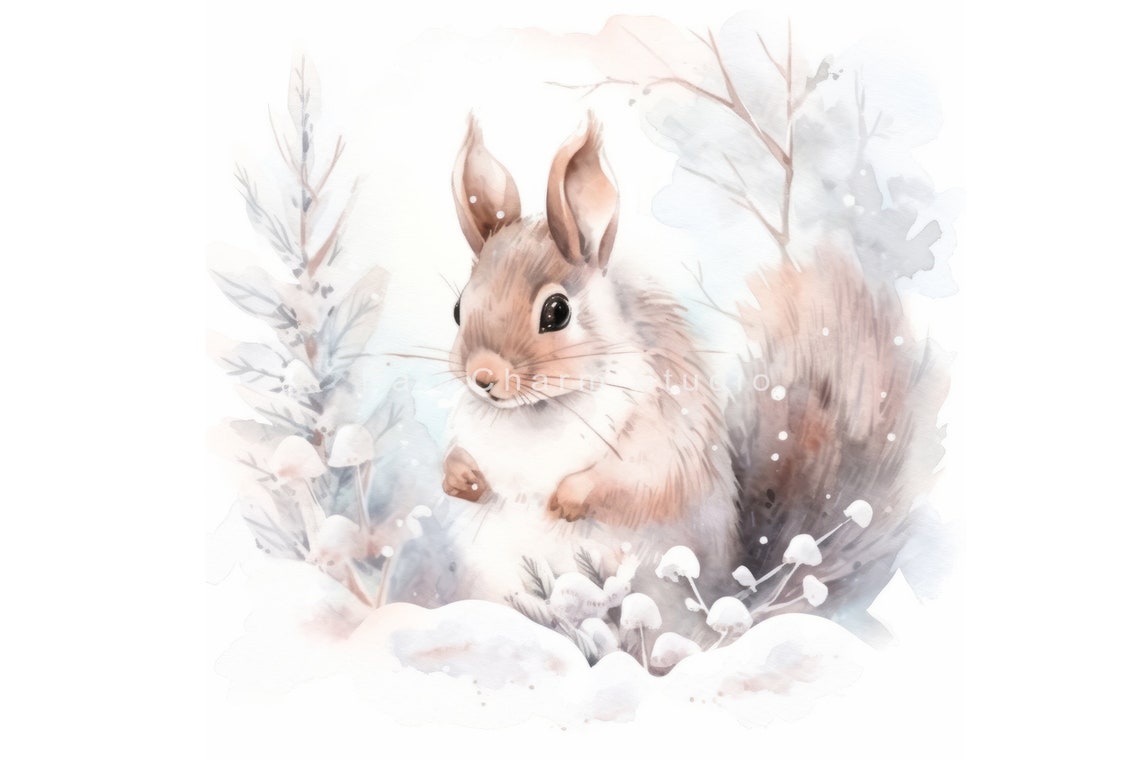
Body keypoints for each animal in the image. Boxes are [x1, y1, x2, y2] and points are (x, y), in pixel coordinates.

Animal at [439, 114, 947, 639]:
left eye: (556, 312)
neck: (537, 410)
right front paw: (463, 478)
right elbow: (458, 457)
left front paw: (568, 498)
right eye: (458, 309)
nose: (483, 376)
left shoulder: (661, 422)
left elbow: (649, 478)